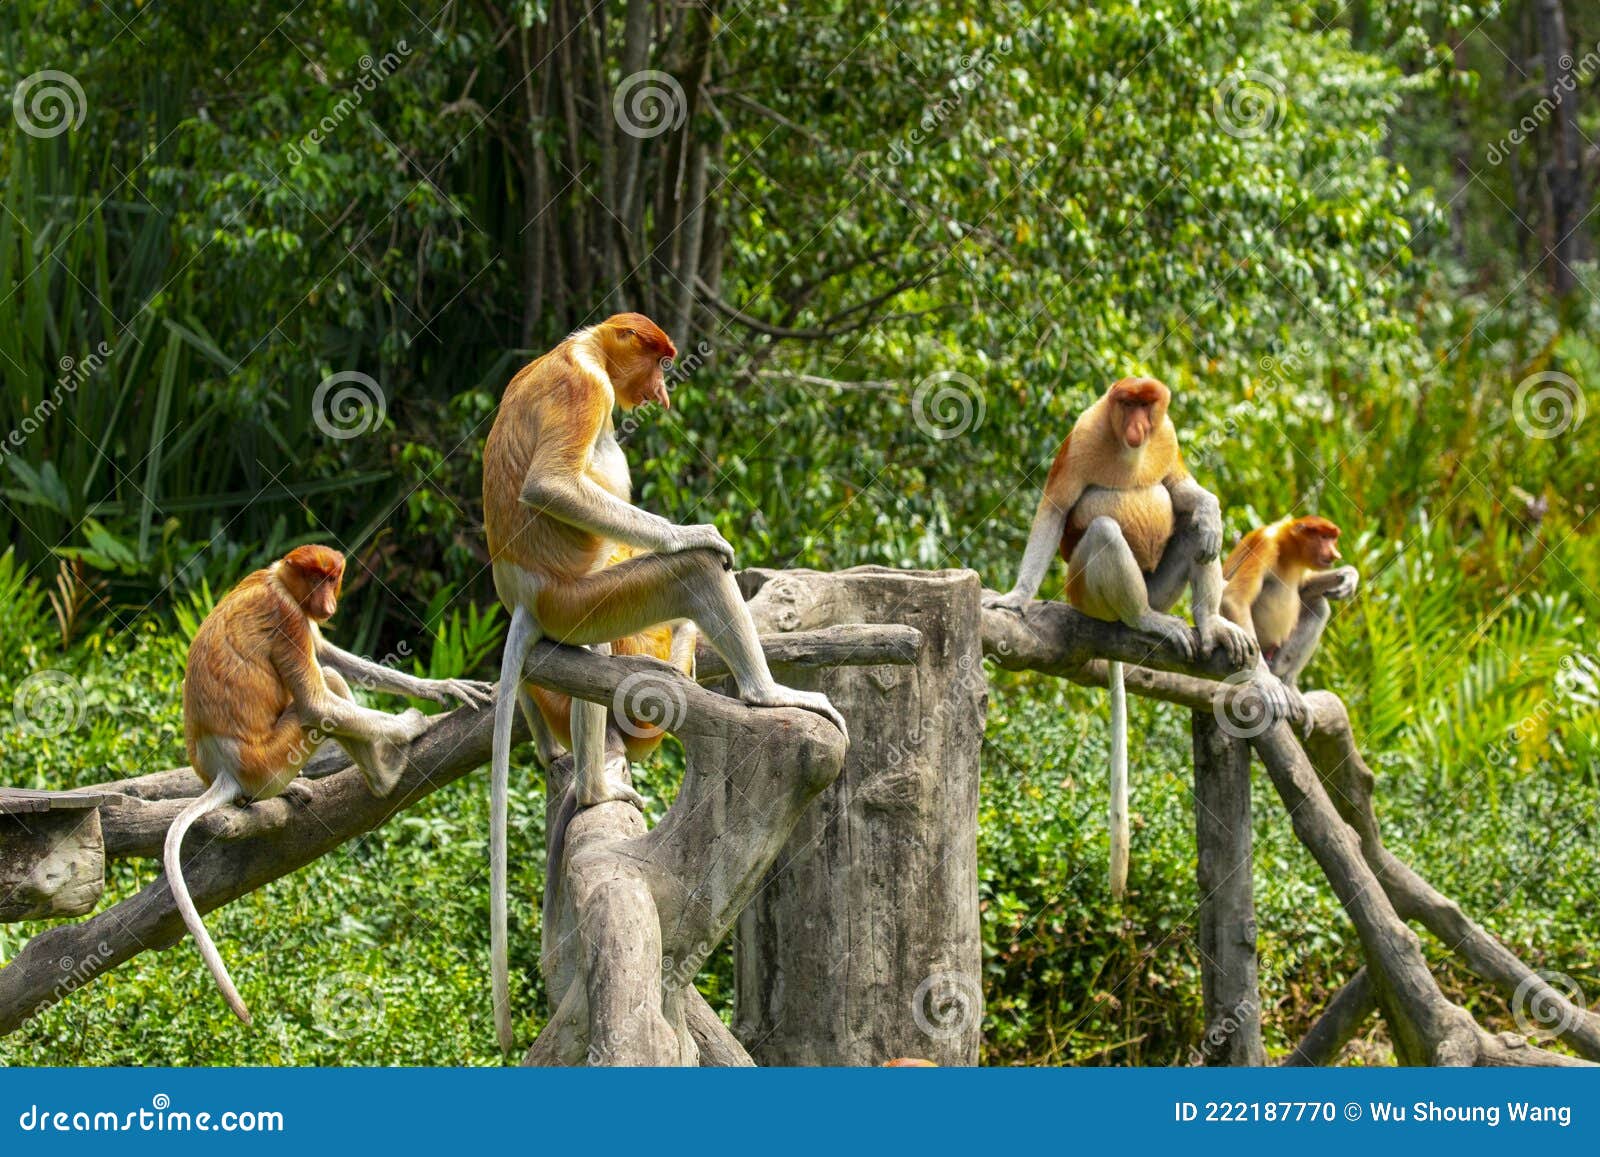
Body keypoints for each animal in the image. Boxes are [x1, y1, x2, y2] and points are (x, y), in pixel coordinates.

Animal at [168, 545, 493, 1023]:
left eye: (332, 578)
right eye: (315, 579)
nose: (327, 603)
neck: (280, 581)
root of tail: (224, 769)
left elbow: (334, 656)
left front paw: (442, 687)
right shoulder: (288, 617)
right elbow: (317, 702)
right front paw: (412, 724)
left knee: (333, 677)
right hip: (271, 760)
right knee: (320, 701)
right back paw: (383, 777)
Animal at [483, 311, 846, 1051]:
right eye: (658, 359)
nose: (661, 391)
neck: (585, 348)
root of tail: (524, 593)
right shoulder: (585, 389)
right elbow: (552, 487)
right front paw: (698, 532)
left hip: (573, 609)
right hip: (582, 596)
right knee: (687, 578)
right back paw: (759, 695)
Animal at [984, 377, 1254, 899]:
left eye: (1148, 406)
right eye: (1126, 404)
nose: (1136, 426)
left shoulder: (1167, 434)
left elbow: (1179, 490)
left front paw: (1209, 508)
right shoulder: (1083, 436)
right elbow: (1054, 511)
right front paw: (1016, 599)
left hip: (1162, 586)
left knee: (1193, 532)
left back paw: (1210, 622)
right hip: (1085, 589)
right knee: (1106, 531)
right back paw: (1145, 620)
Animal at [1221, 515, 1359, 734]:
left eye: (1333, 538)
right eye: (1323, 537)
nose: (1336, 554)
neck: (1288, 546)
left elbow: (1305, 587)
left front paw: (1348, 575)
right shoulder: (1266, 546)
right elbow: (1234, 599)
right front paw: (1265, 682)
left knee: (1318, 605)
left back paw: (1289, 684)